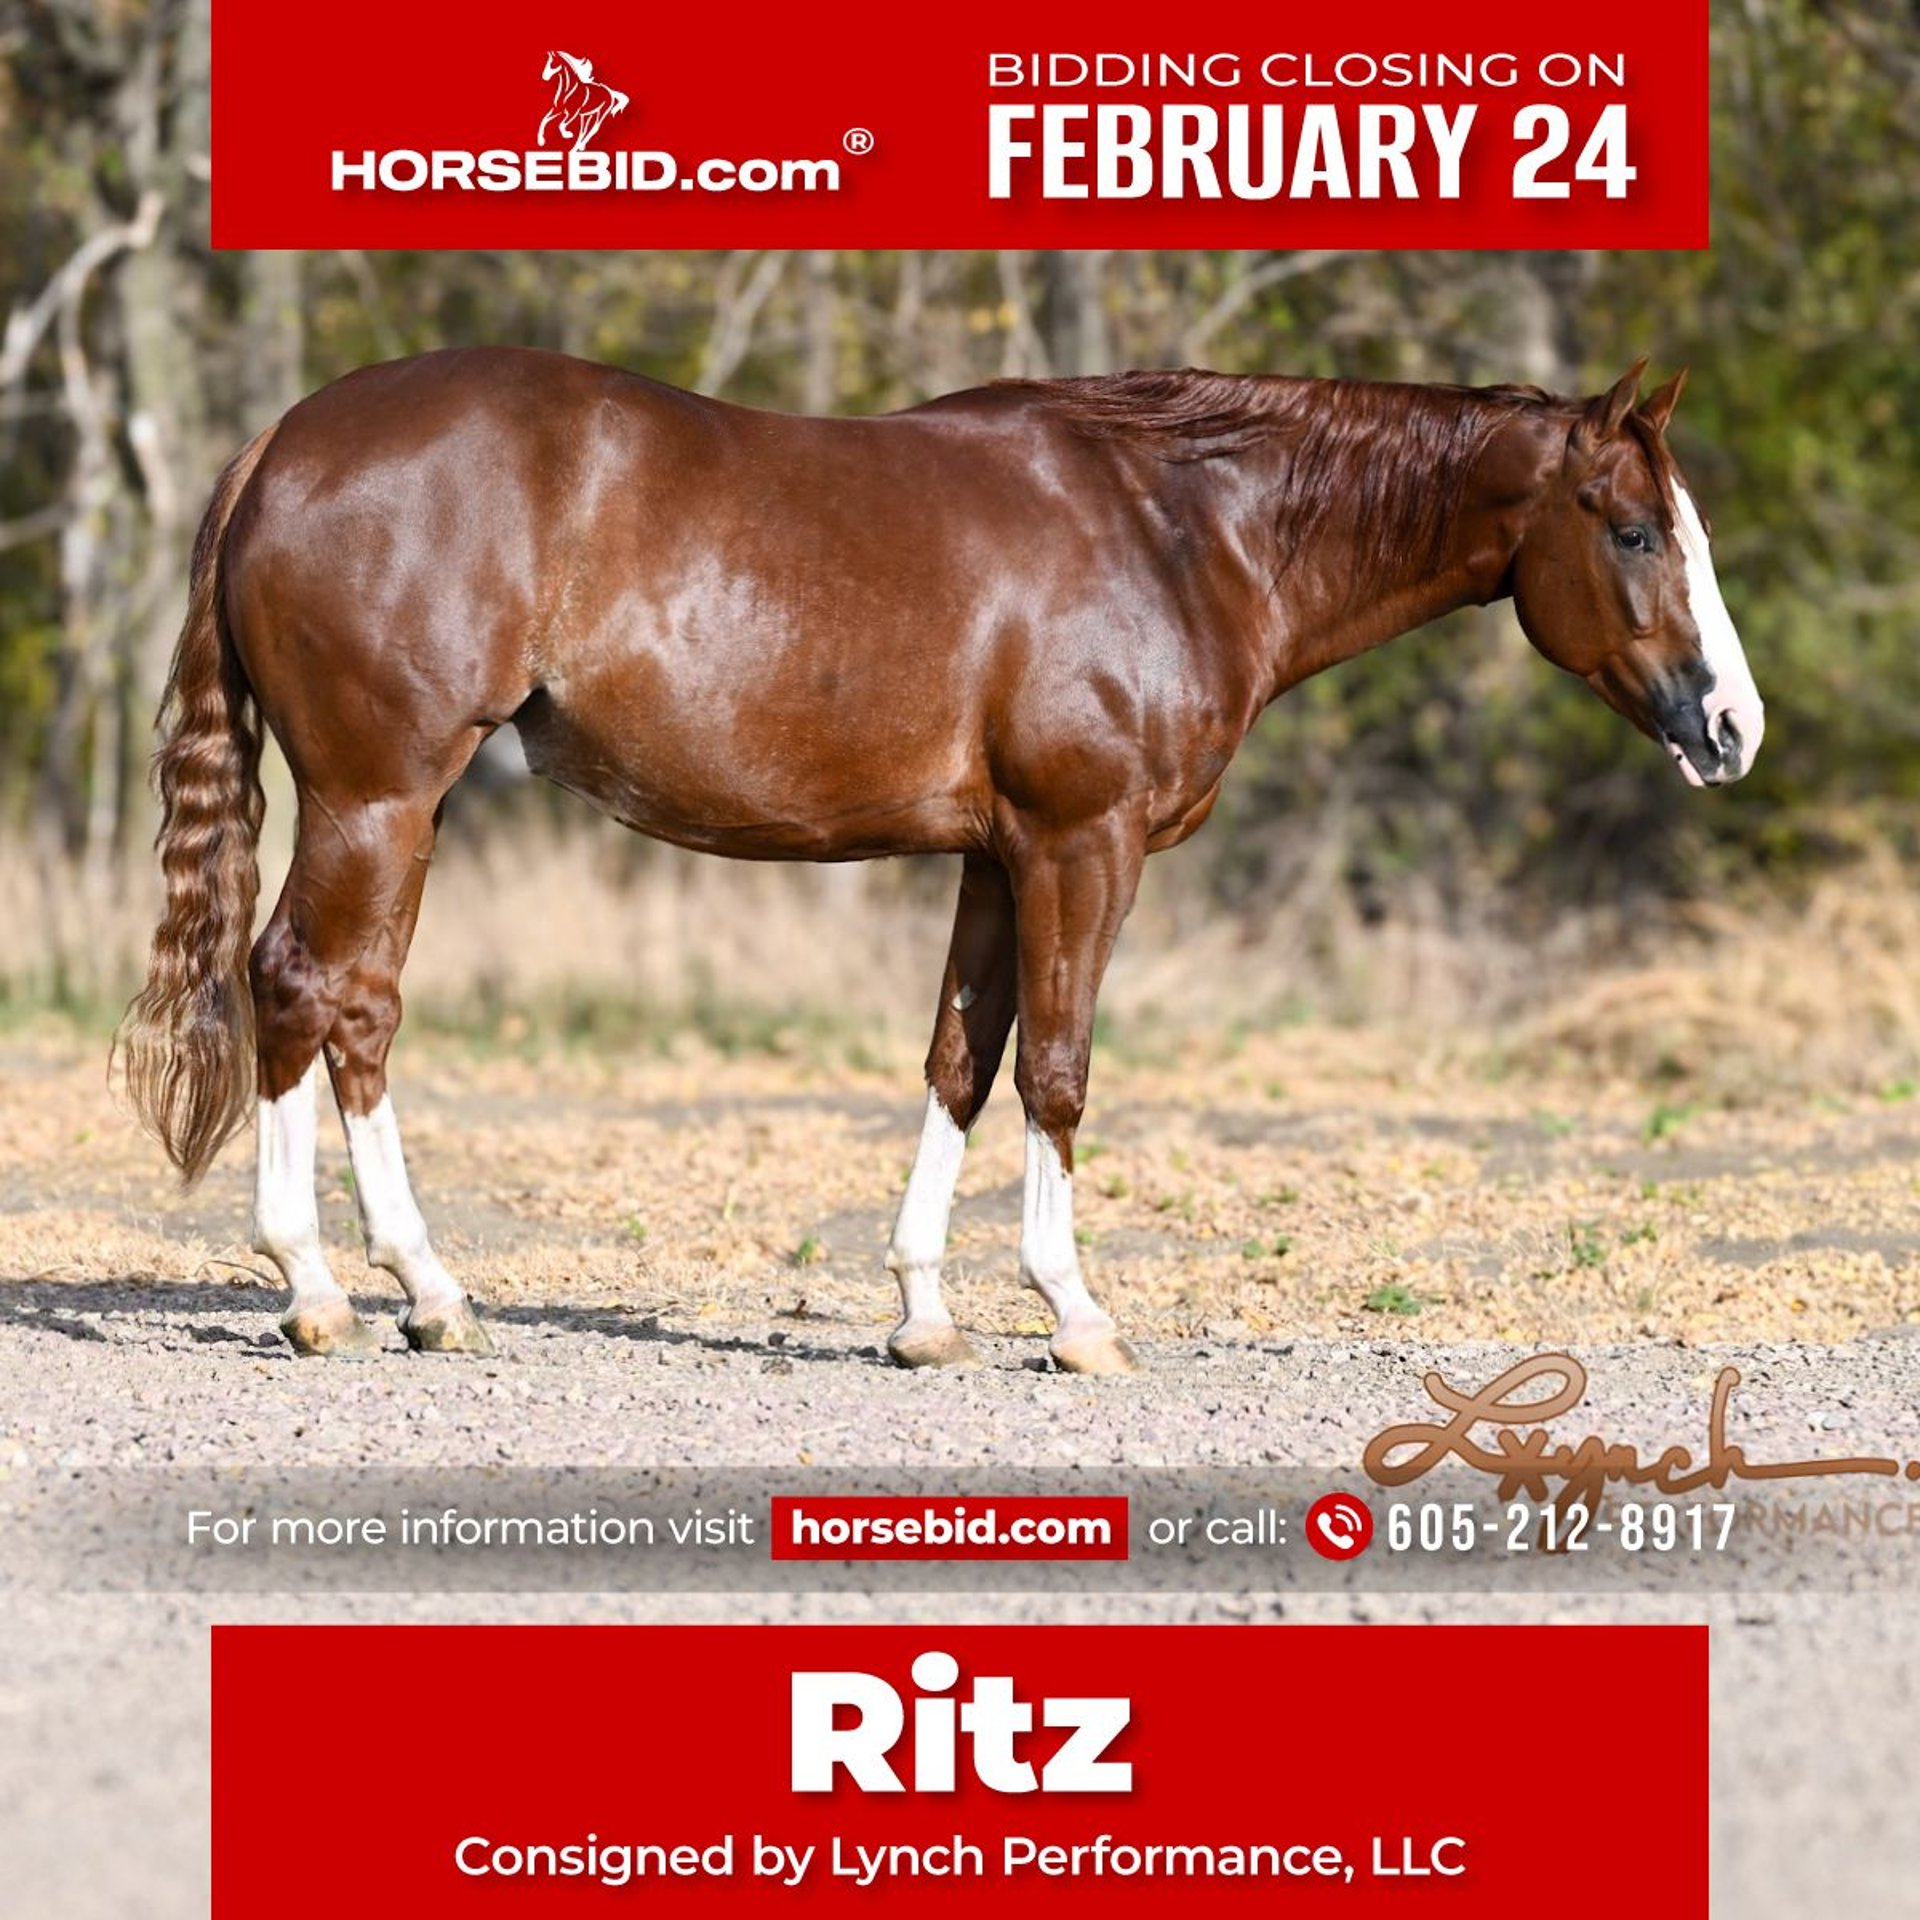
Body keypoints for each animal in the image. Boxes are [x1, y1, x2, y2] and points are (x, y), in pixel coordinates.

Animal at [117, 349, 1763, 1371]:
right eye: (1631, 531)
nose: (1732, 727)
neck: (1181, 528)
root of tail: (285, 442)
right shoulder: (1085, 848)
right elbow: (1058, 1071)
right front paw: (1075, 1315)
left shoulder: (997, 857)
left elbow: (962, 1058)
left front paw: (922, 1312)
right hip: (377, 796)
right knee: (299, 987)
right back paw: (322, 1291)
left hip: (412, 808)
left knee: (359, 1010)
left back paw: (429, 1292)